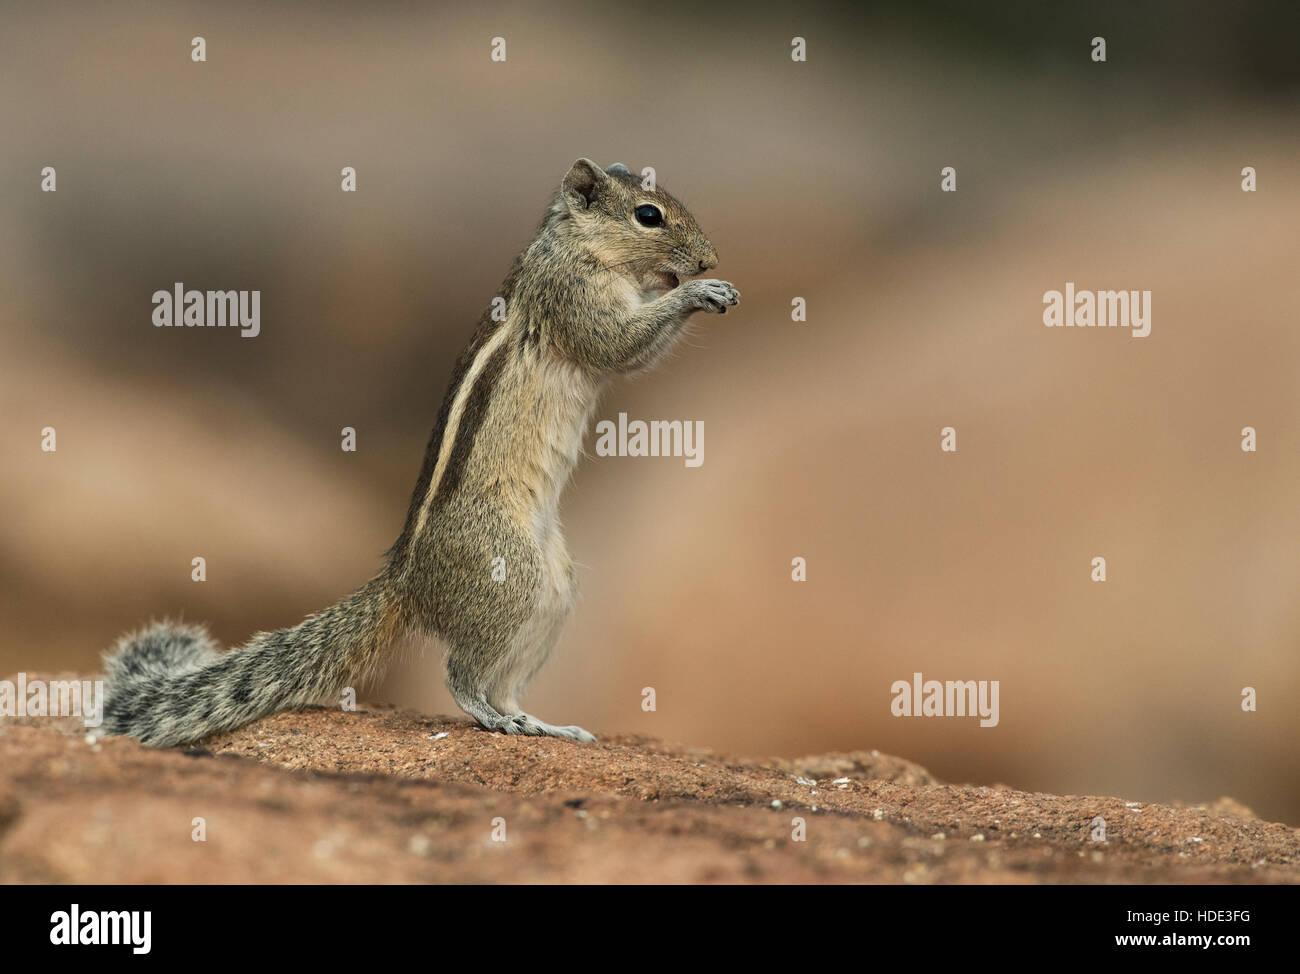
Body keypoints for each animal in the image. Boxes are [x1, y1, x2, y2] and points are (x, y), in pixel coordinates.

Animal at [101, 159, 739, 747]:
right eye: (648, 215)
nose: (709, 260)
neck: (573, 245)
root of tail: (406, 579)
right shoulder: (573, 297)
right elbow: (617, 344)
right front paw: (697, 293)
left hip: (553, 590)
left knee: (502, 681)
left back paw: (540, 723)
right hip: (509, 573)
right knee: (461, 676)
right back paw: (496, 718)